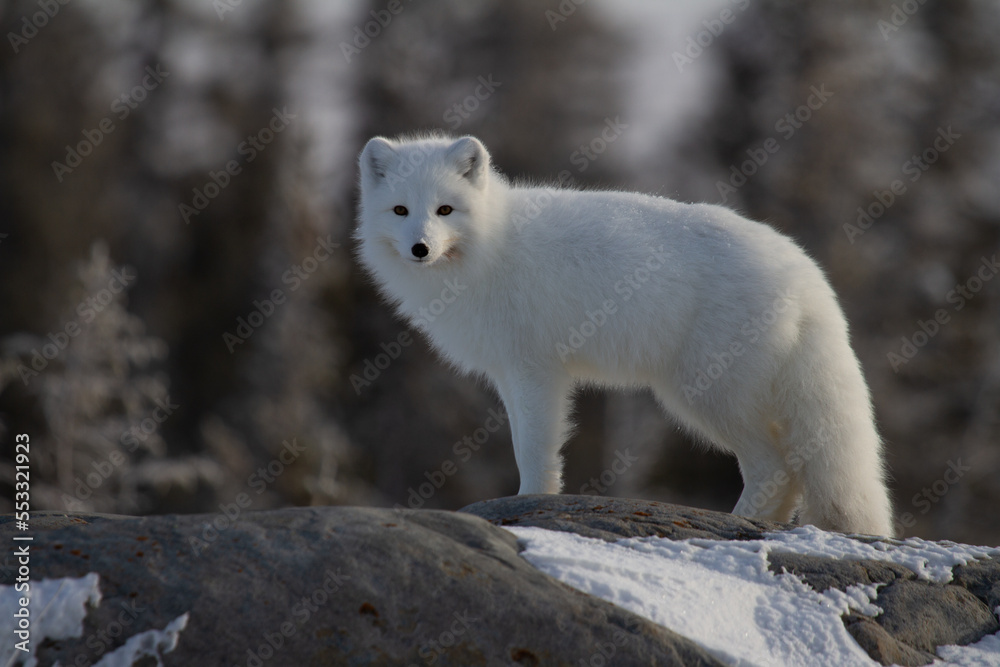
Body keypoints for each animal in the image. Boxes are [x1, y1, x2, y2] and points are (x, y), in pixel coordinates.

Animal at [355, 133, 894, 536]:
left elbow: (533, 449)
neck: (491, 246)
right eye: (401, 211)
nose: (421, 248)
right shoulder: (509, 374)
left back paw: (732, 524)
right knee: (787, 475)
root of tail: (805, 271)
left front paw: (530, 504)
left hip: (705, 395)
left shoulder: (535, 370)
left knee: (775, 469)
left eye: (445, 210)